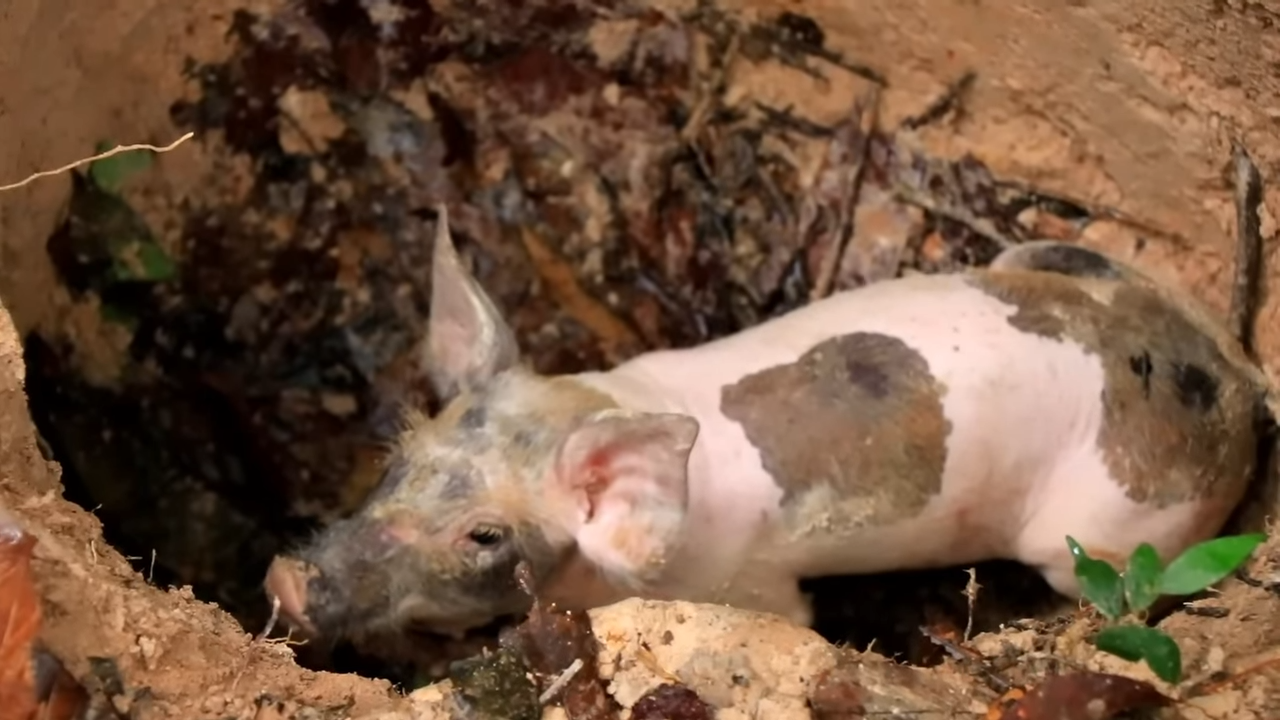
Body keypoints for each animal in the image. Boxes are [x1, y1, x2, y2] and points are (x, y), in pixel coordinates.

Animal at [265, 205, 1273, 645]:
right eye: (400, 455)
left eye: (484, 536)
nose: (287, 579)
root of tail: (1231, 375)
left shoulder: (750, 587)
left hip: (1116, 530)